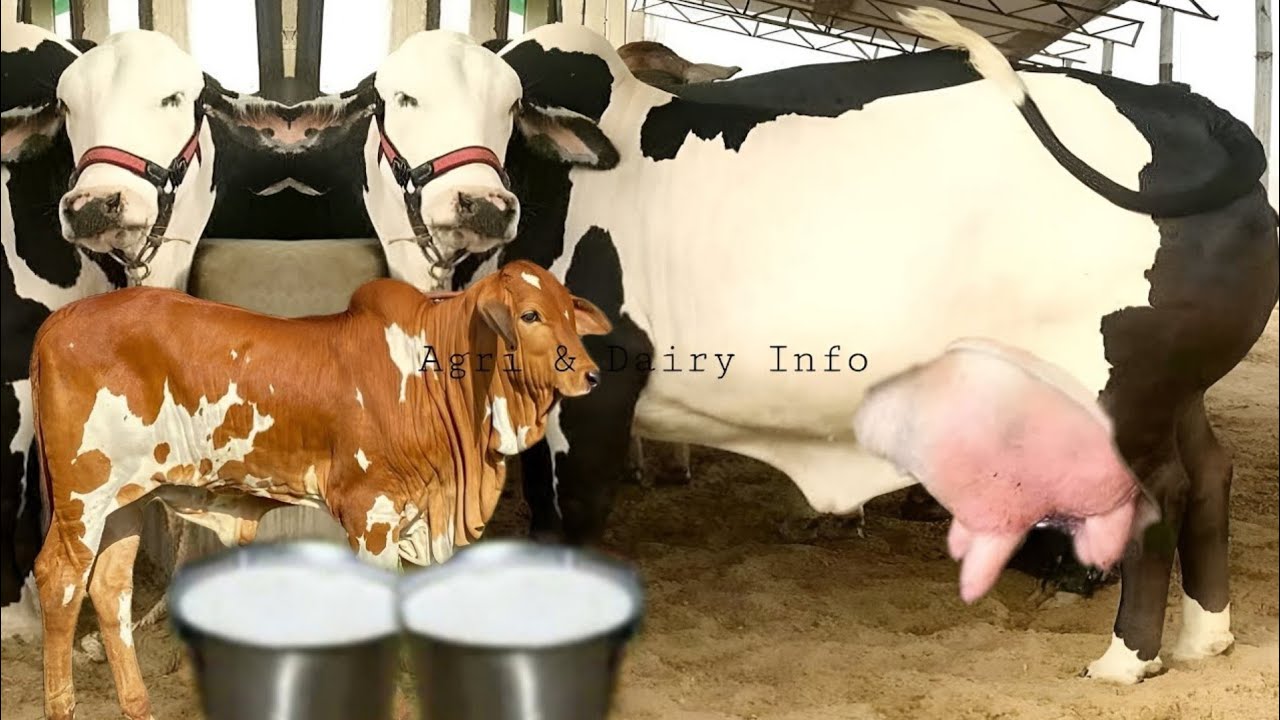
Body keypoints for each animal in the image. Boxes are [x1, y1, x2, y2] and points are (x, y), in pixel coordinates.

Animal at [30, 259, 610, 720]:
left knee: (110, 588)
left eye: (567, 309)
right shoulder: (370, 514)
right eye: (530, 315)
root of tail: (58, 320)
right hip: (83, 496)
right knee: (60, 580)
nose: (591, 374)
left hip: (128, 497)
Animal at [369, 9, 1278, 685]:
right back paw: (1205, 636)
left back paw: (1129, 657)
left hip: (1120, 387)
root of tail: (1192, 110)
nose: (476, 205)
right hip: (1174, 384)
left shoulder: (598, 391)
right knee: (1211, 471)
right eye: (395, 99)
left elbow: (575, 512)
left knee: (1160, 489)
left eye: (508, 109)